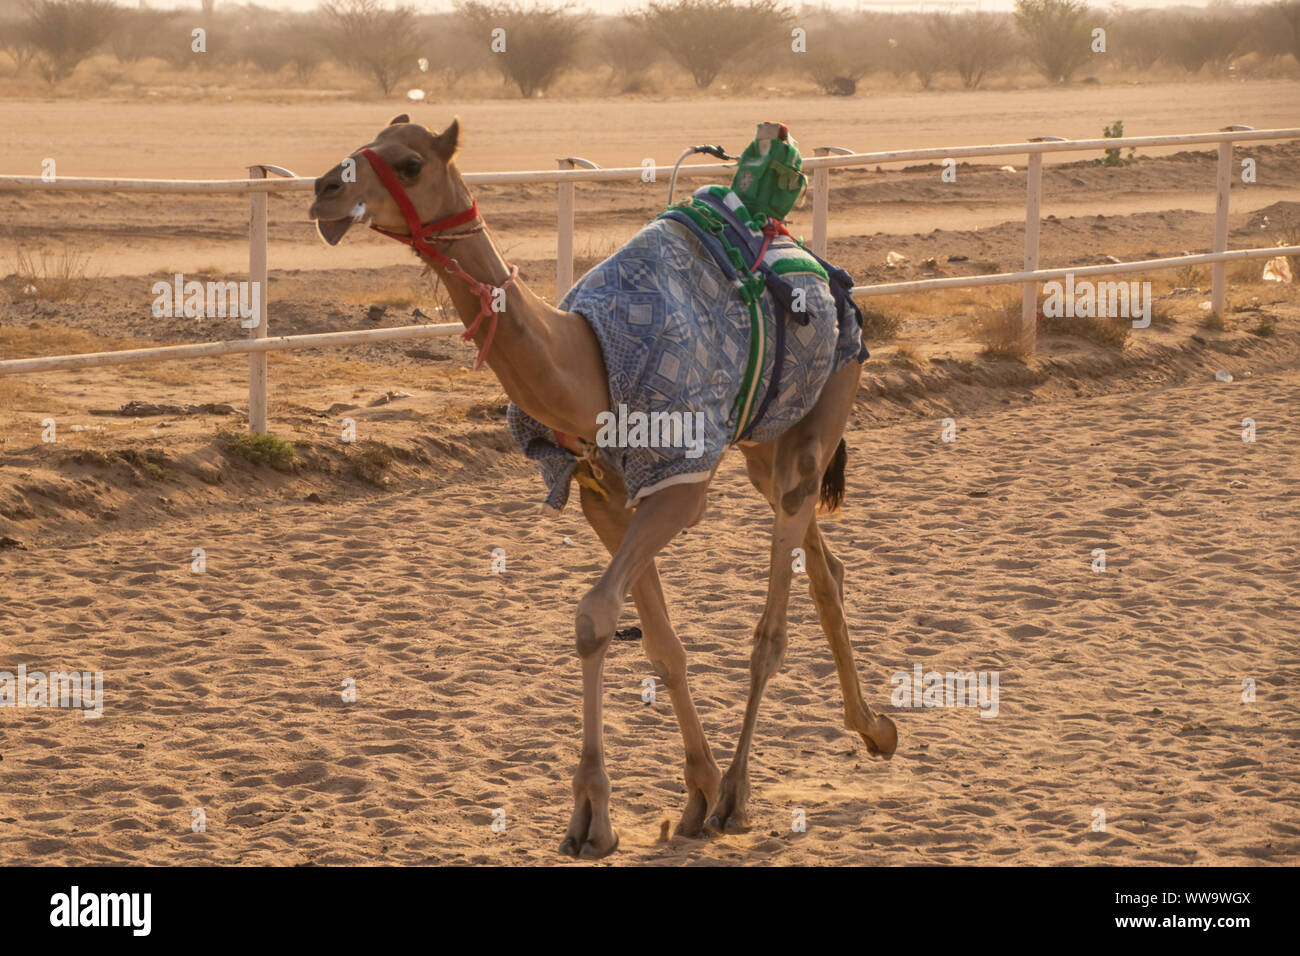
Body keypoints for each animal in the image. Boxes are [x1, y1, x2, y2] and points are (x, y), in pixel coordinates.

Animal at [309, 115, 898, 859]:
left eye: (410, 163)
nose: (323, 191)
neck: (586, 361)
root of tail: (824, 272)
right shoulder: (602, 497)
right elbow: (658, 643)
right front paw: (692, 792)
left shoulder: (678, 486)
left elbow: (594, 617)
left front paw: (597, 814)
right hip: (766, 443)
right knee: (827, 567)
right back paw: (874, 728)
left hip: (831, 396)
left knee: (774, 623)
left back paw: (741, 794)